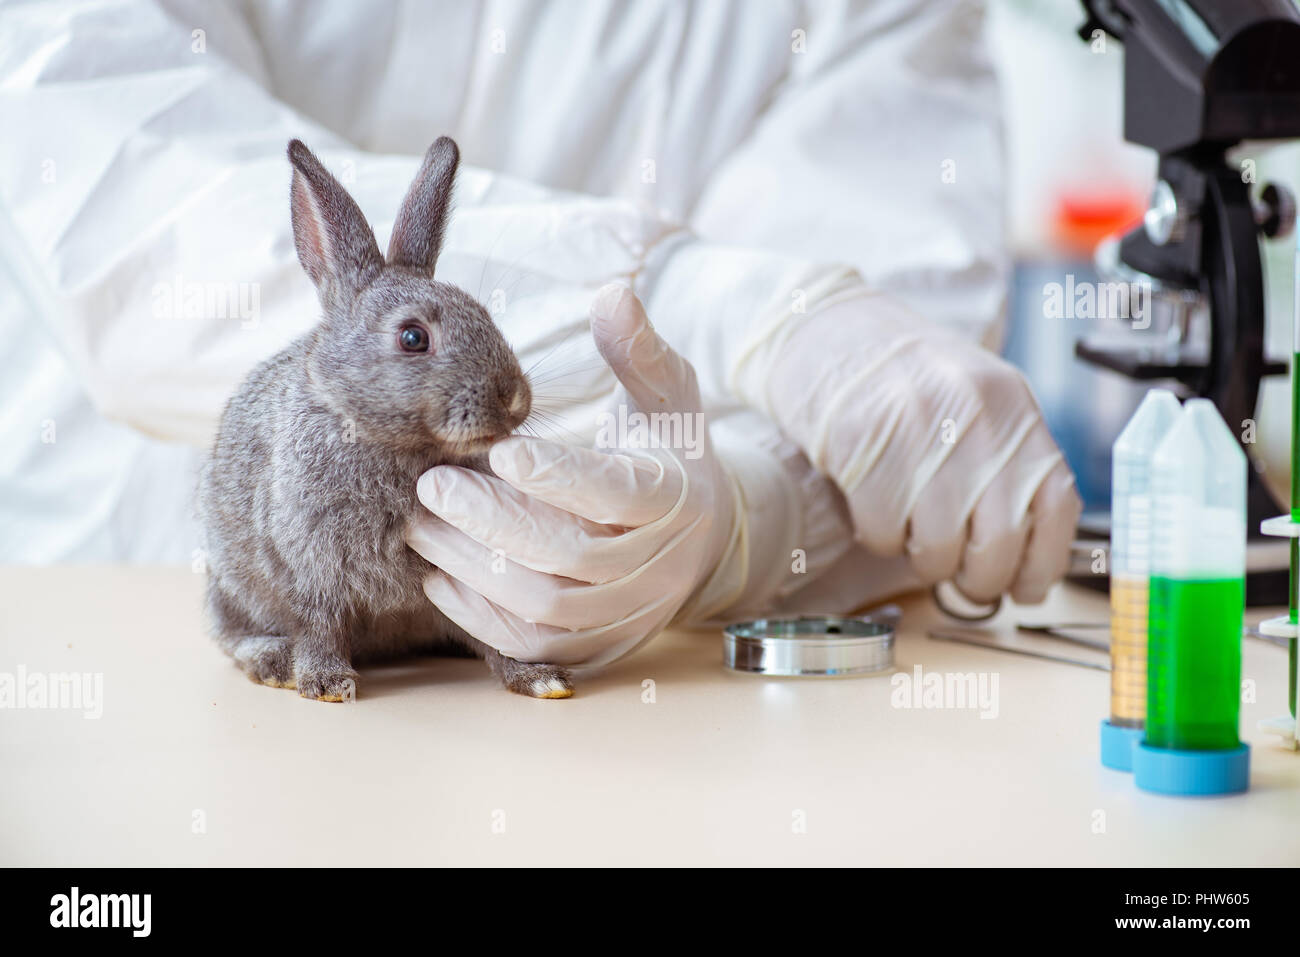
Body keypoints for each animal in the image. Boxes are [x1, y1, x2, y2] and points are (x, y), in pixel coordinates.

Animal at [197, 137, 573, 702]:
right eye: (413, 337)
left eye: (486, 315)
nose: (513, 400)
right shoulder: (309, 566)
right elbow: (320, 625)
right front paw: (327, 684)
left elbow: (492, 625)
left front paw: (539, 676)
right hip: (229, 587)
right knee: (232, 635)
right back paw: (273, 661)